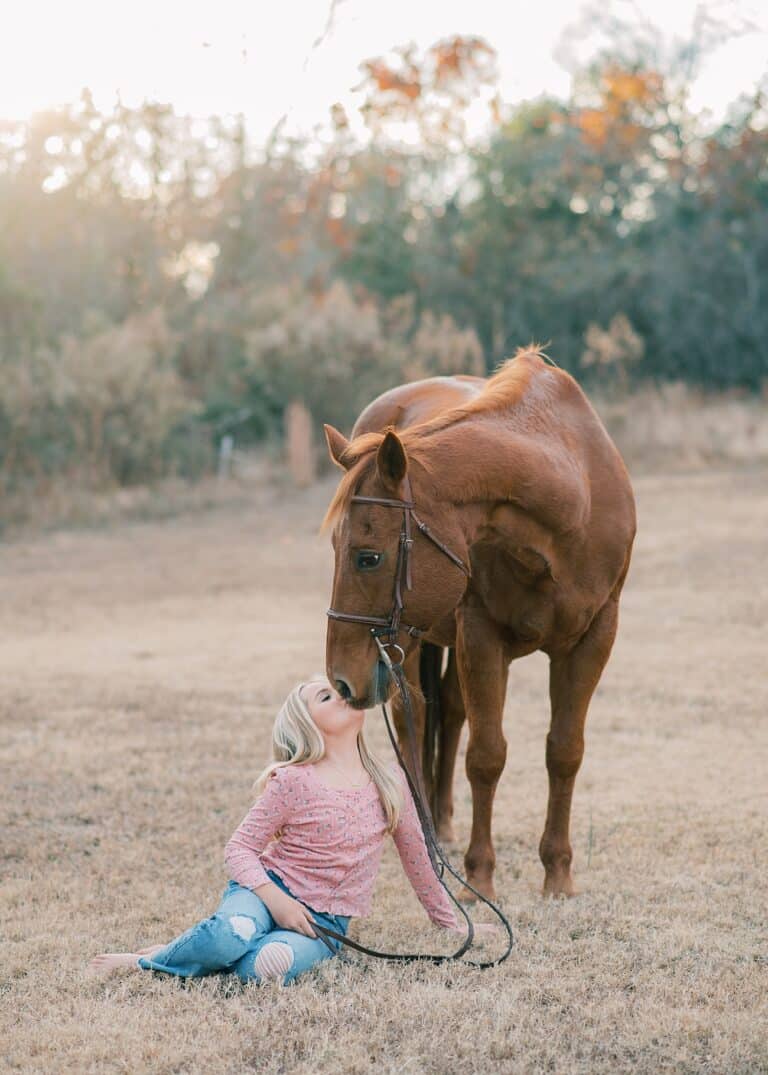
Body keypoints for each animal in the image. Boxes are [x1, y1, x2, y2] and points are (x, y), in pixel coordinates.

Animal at [322, 348, 636, 900]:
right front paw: (479, 879)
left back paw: (445, 824)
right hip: (408, 643)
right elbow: (487, 757)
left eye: (367, 556)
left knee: (447, 710)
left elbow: (565, 751)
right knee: (413, 716)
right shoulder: (481, 637)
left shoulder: (594, 639)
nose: (339, 678)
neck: (572, 503)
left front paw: (558, 873)